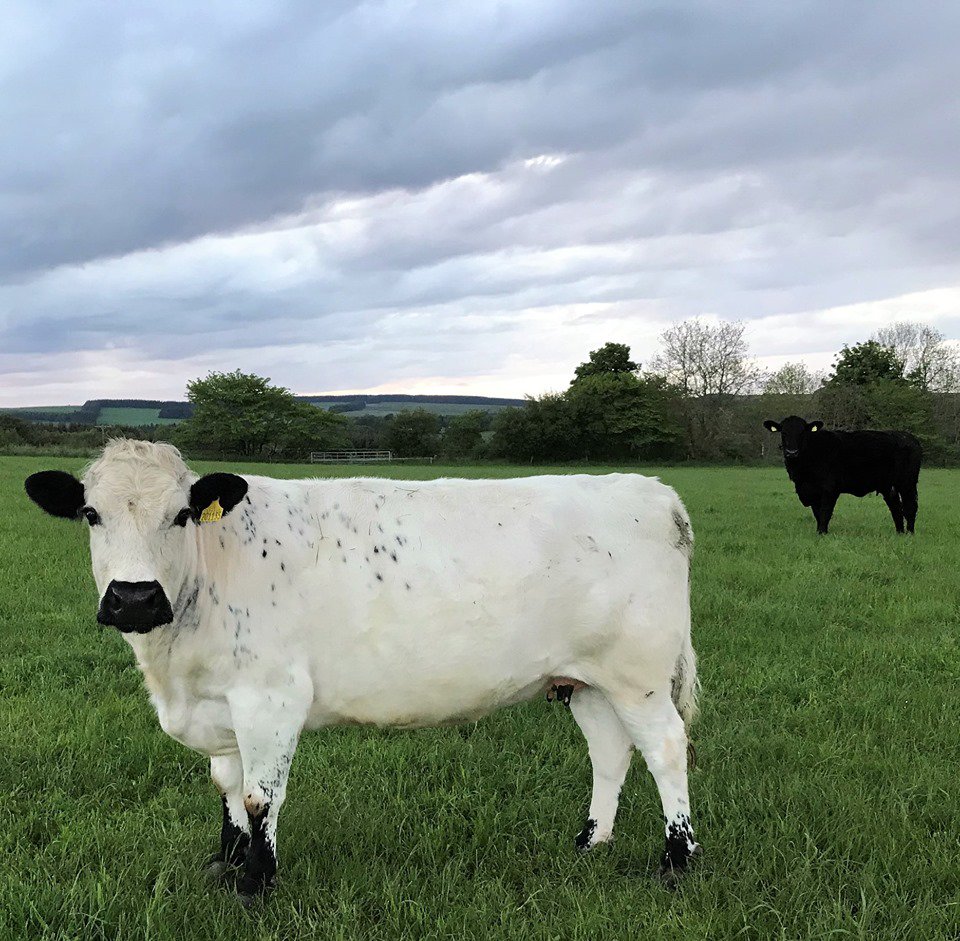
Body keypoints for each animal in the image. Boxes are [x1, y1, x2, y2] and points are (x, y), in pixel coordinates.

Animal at [24, 440, 700, 903]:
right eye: (91, 514)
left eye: (181, 515)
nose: (134, 599)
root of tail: (653, 493)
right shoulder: (221, 707)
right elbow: (227, 791)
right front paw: (225, 867)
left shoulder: (271, 699)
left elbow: (259, 798)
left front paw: (256, 886)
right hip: (585, 681)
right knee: (609, 750)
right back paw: (591, 843)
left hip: (638, 674)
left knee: (666, 748)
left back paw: (677, 861)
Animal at [763, 416, 922, 535]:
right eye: (783, 433)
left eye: (802, 433)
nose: (792, 452)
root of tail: (907, 436)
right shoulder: (811, 490)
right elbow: (817, 513)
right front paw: (819, 532)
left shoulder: (829, 488)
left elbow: (825, 512)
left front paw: (822, 533)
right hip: (888, 486)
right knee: (896, 507)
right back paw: (899, 533)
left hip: (907, 483)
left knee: (910, 507)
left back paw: (910, 533)